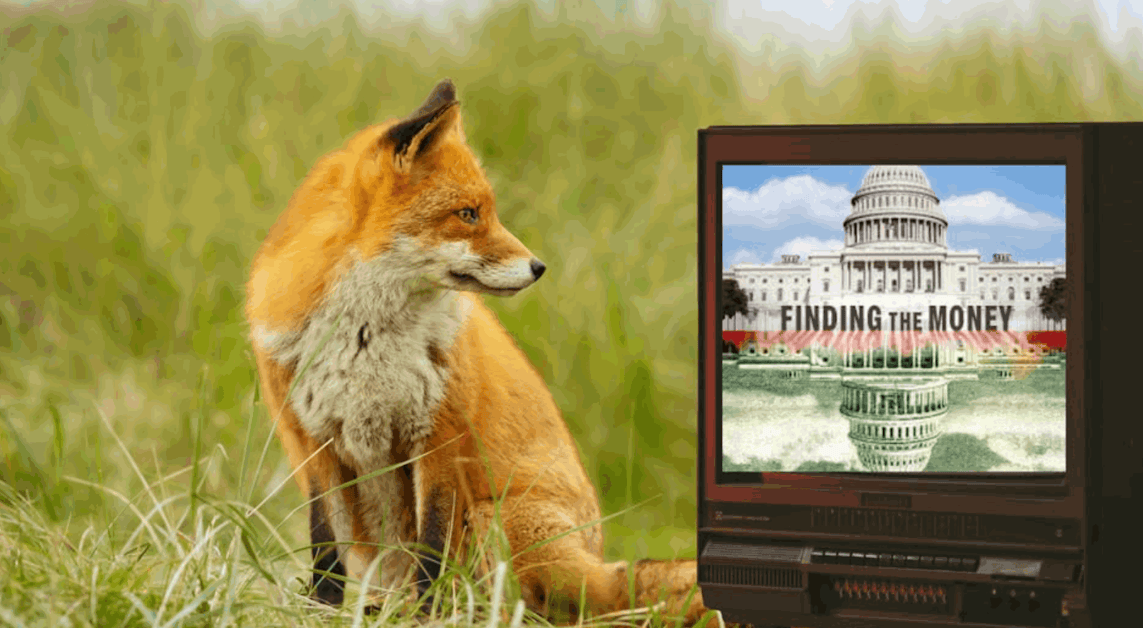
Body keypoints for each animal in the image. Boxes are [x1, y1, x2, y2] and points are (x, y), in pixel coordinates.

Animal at [245, 79, 711, 624]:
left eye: (488, 212)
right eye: (468, 214)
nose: (539, 267)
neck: (366, 337)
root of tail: (593, 560)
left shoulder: (441, 437)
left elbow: (432, 544)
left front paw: (427, 615)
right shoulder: (311, 441)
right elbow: (323, 543)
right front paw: (322, 608)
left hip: (494, 514)